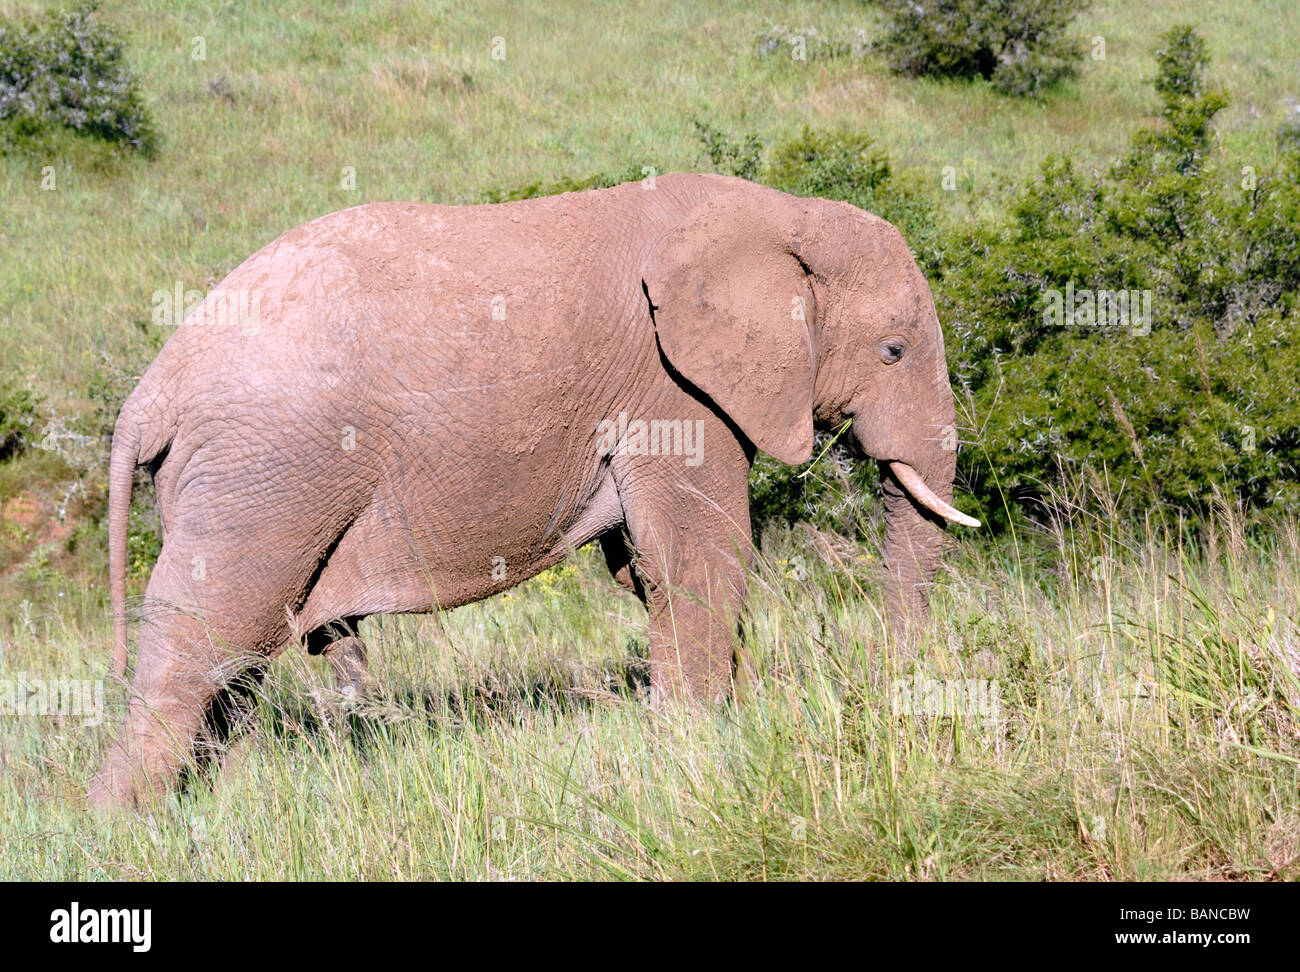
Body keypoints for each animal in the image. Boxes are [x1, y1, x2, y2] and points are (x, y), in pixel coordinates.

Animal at [90, 172, 978, 810]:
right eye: (894, 350)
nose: (888, 686)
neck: (785, 214)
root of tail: (151, 393)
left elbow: (643, 569)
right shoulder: (671, 389)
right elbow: (702, 555)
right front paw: (696, 753)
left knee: (238, 659)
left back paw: (212, 804)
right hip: (266, 473)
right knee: (203, 636)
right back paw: (122, 825)